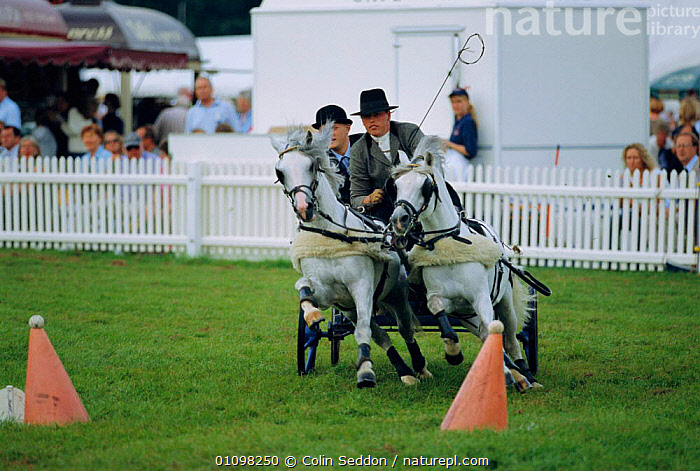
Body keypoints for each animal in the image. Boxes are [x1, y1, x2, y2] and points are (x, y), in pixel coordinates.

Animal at [271, 125, 431, 388]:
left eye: (312, 166)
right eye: (280, 172)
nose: (305, 208)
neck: (329, 235)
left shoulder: (361, 286)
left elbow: (364, 331)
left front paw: (365, 371)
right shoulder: (329, 295)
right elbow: (303, 287)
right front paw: (312, 316)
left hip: (396, 294)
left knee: (404, 328)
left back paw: (419, 368)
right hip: (349, 309)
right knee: (381, 334)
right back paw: (404, 370)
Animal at [387, 135, 540, 390]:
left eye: (425, 186)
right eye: (396, 185)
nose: (399, 220)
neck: (449, 245)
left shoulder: (481, 298)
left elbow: (493, 330)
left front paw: (508, 373)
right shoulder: (444, 301)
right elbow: (441, 316)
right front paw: (453, 353)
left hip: (504, 303)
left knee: (509, 338)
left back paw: (525, 376)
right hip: (467, 317)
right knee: (486, 334)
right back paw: (514, 373)